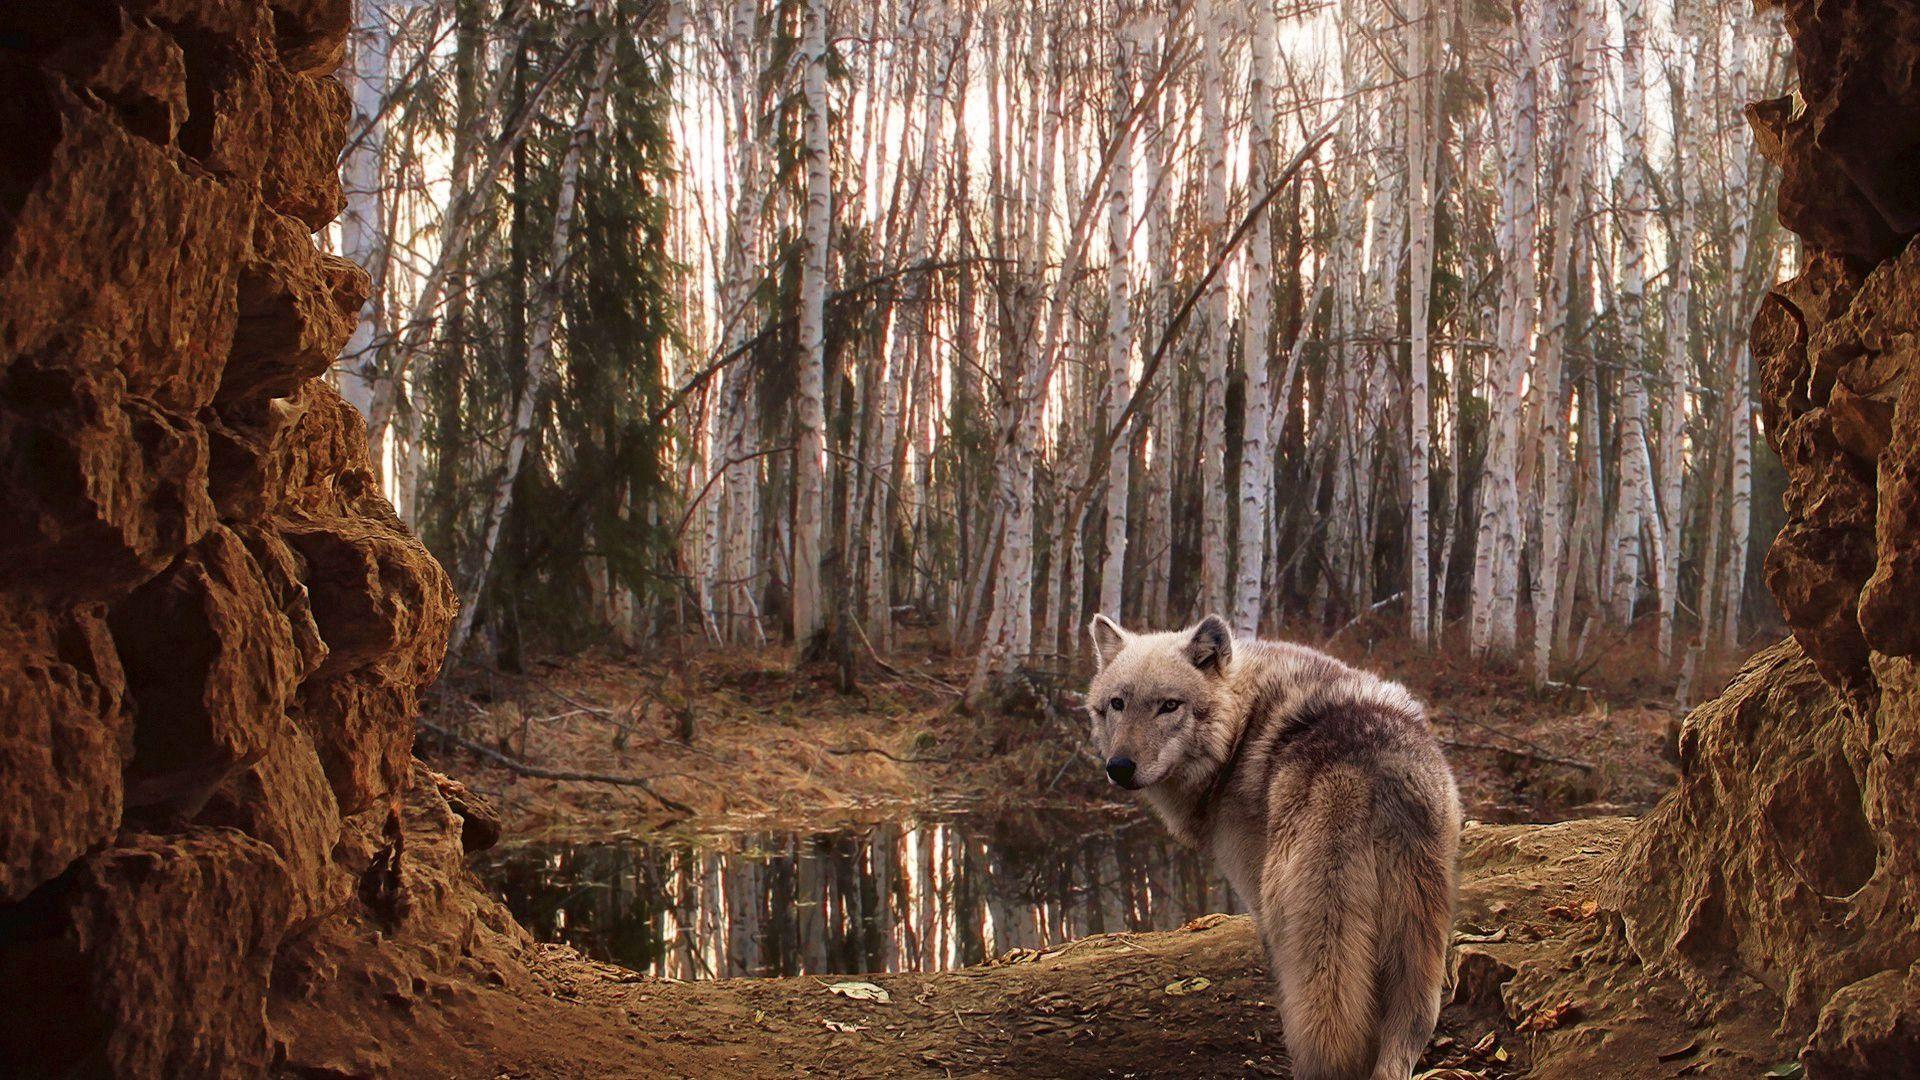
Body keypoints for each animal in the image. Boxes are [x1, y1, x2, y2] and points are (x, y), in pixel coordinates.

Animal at [1085, 613, 1461, 1080]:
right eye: (1117, 703)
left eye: (1169, 705)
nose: (1119, 767)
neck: (1240, 731)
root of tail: (1364, 770)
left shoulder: (1256, 900)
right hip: (1418, 941)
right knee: (1407, 1032)